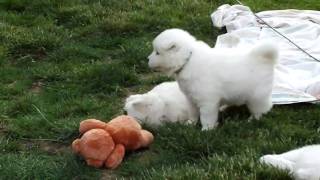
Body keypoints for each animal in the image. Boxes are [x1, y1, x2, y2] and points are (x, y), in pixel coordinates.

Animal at [148, 28, 278, 130]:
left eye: (157, 52)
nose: (147, 59)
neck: (188, 60)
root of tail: (264, 57)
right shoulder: (190, 98)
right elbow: (193, 112)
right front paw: (190, 123)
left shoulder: (208, 101)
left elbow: (206, 117)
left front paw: (206, 130)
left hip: (257, 95)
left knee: (261, 108)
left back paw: (252, 120)